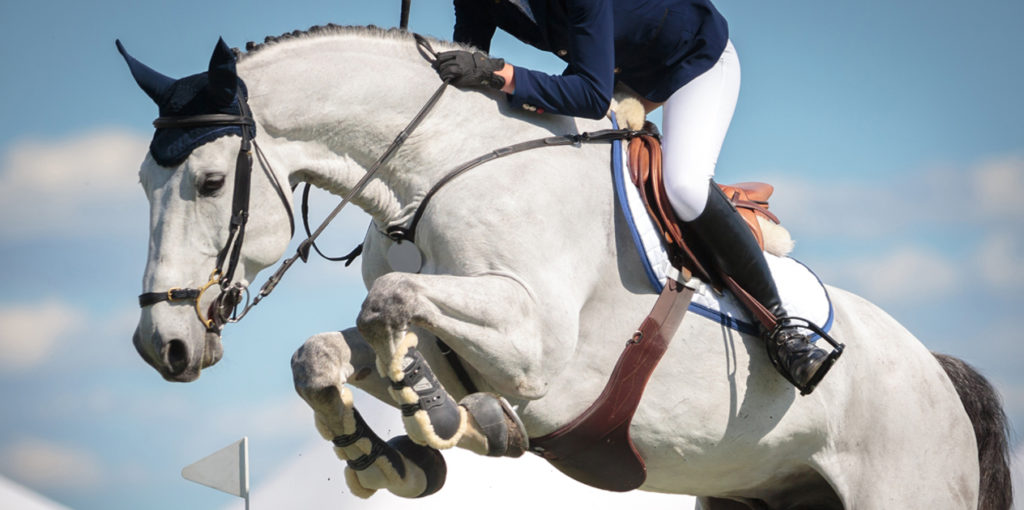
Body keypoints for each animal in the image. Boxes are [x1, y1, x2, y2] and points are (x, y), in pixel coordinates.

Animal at [121, 26, 1012, 509]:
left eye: (208, 182)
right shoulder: (449, 328)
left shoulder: (537, 346)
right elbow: (324, 352)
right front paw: (391, 457)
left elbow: (390, 299)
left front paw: (449, 420)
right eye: (139, 184)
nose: (162, 345)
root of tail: (938, 371)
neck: (434, 171)